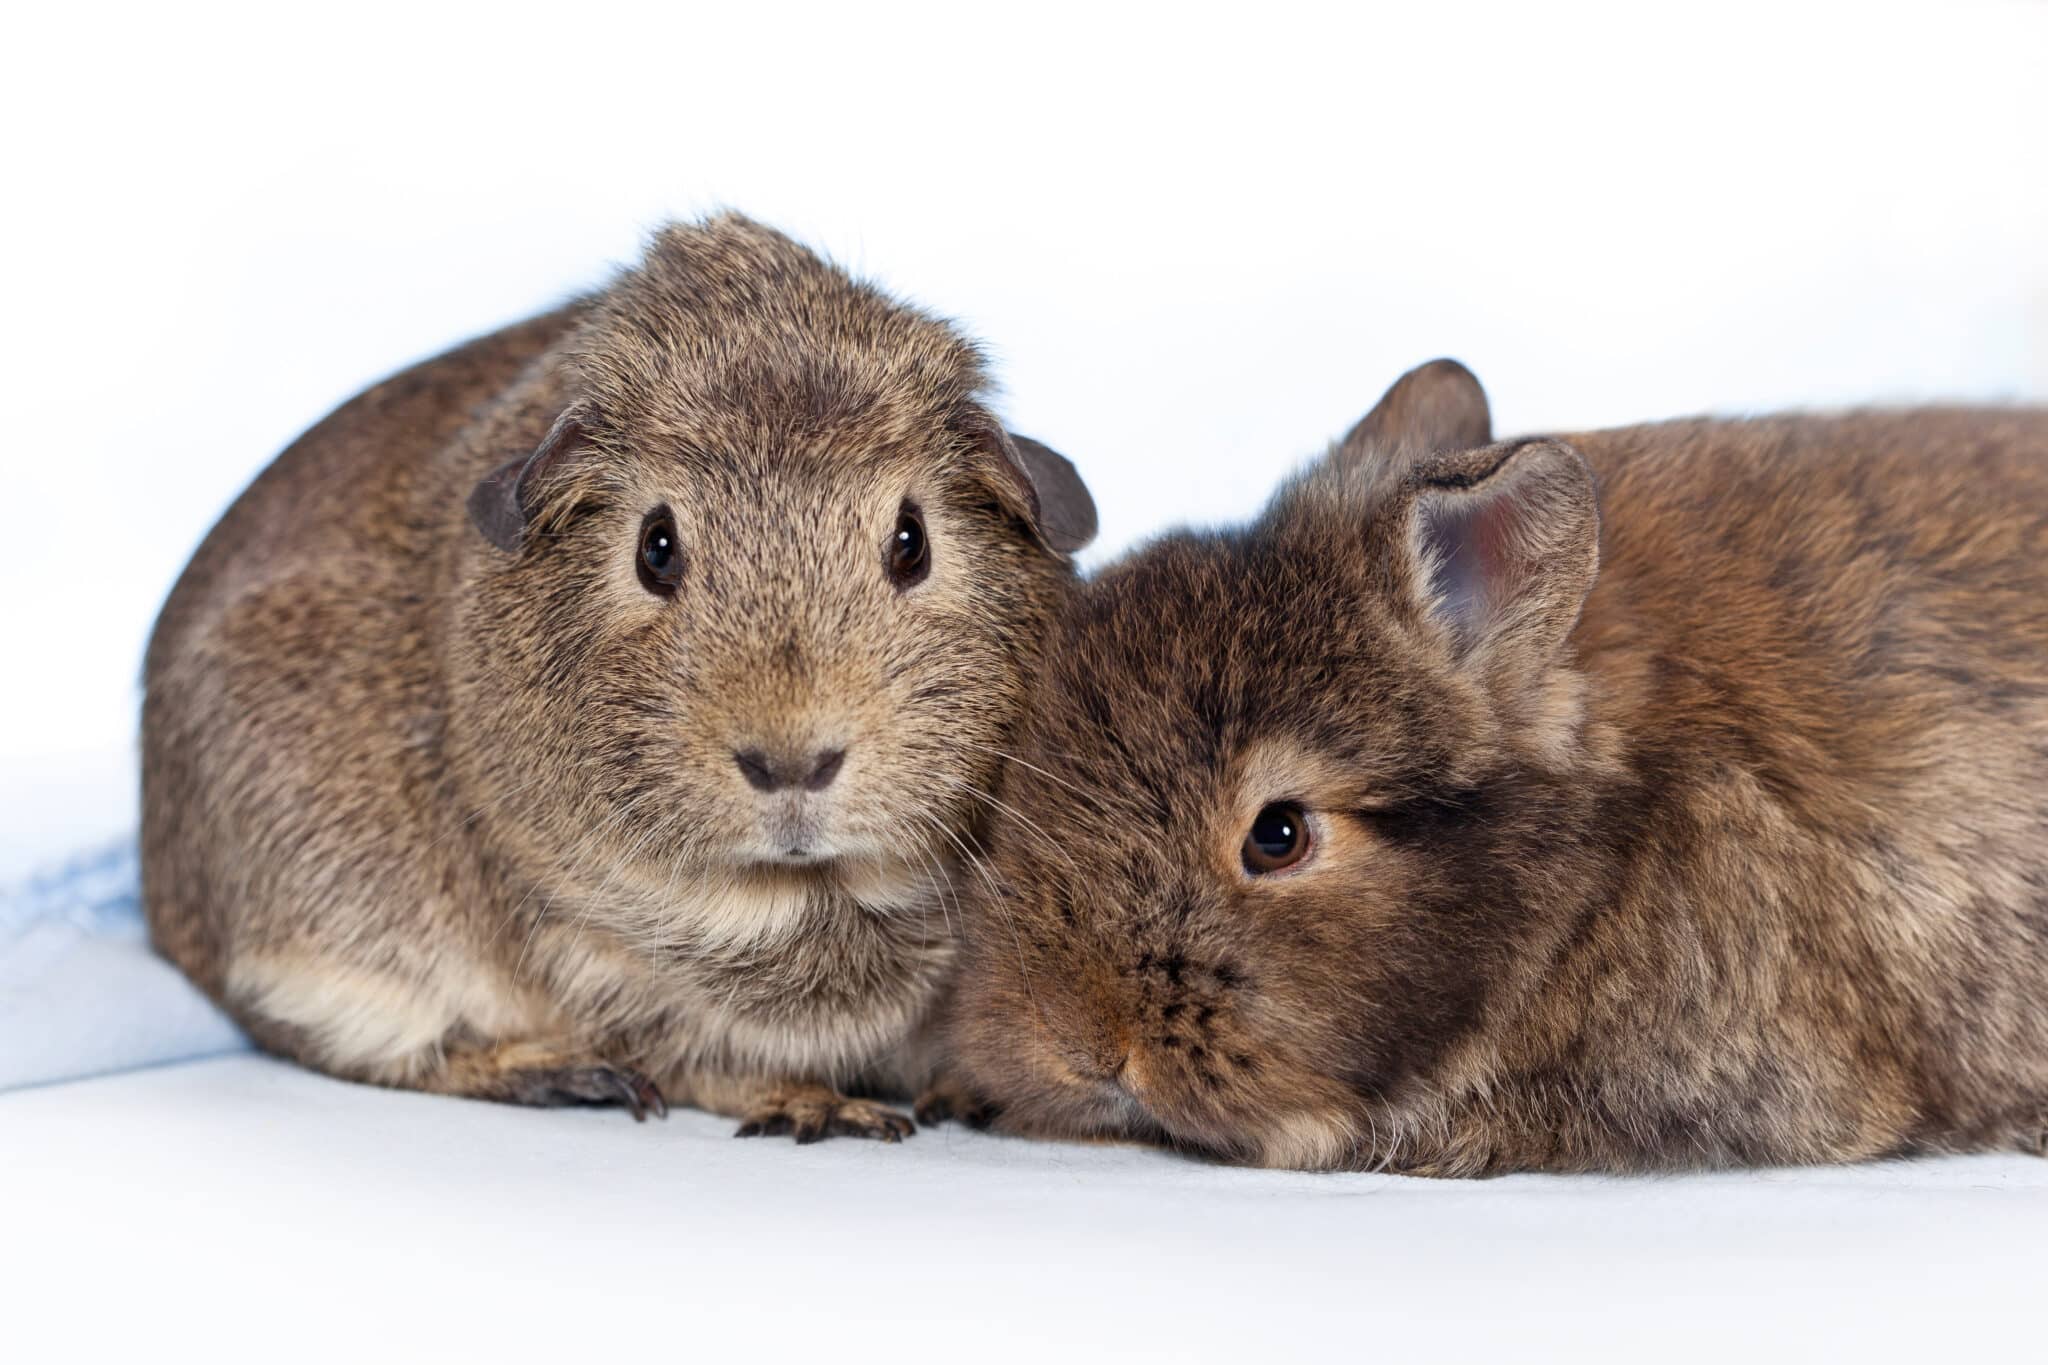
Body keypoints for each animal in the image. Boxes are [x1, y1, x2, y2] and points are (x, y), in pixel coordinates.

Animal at [141, 213, 1096, 1140]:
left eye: (912, 539)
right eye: (656, 546)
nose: (792, 761)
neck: (808, 903)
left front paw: (963, 1094)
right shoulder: (597, 961)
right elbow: (701, 1062)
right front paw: (826, 1110)